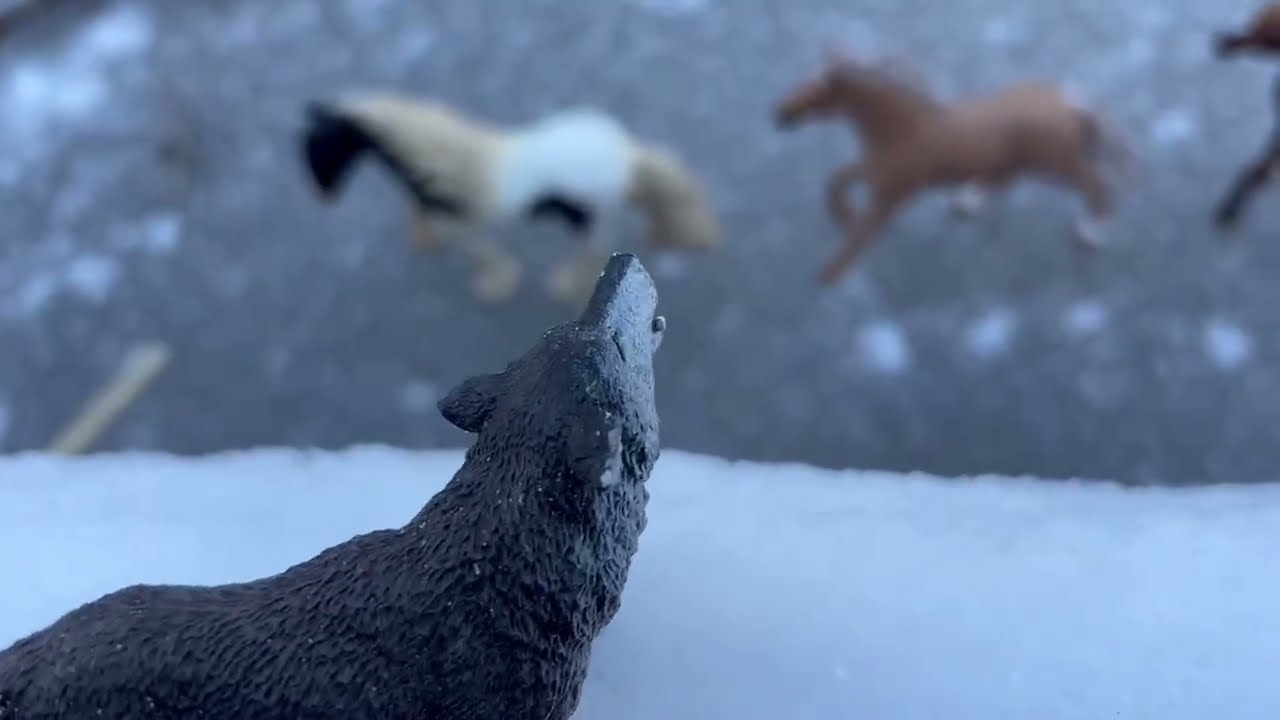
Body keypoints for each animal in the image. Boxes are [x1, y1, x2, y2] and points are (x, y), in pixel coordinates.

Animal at [773, 49, 1134, 284]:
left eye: (821, 92)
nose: (780, 115)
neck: (905, 130)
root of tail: (1070, 104)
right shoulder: (874, 170)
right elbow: (837, 180)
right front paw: (842, 213)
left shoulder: (892, 192)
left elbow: (864, 229)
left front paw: (832, 271)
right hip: (1018, 162)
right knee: (1002, 182)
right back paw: (966, 201)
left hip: (1057, 164)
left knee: (1095, 186)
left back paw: (1090, 232)